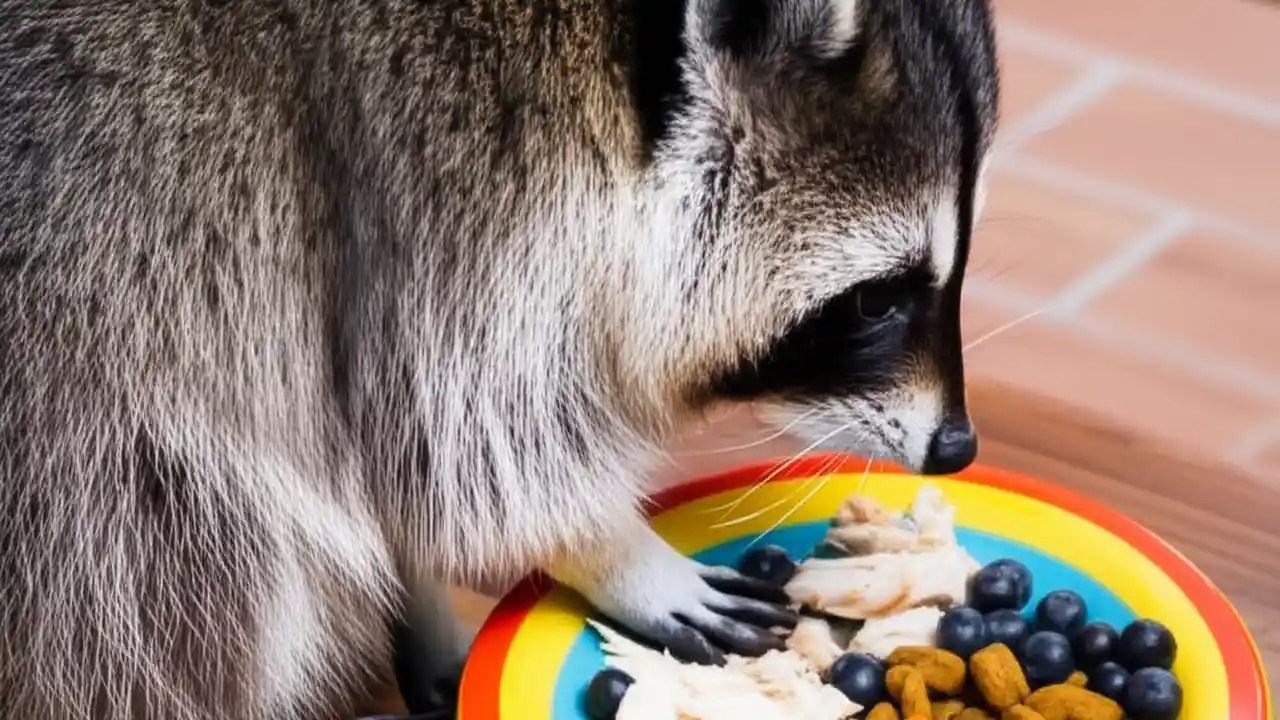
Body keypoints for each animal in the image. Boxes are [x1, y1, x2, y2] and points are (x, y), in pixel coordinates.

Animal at [0, 0, 998, 718]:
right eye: (874, 301)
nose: (957, 446)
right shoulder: (425, 192)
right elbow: (459, 441)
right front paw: (613, 551)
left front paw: (419, 597)